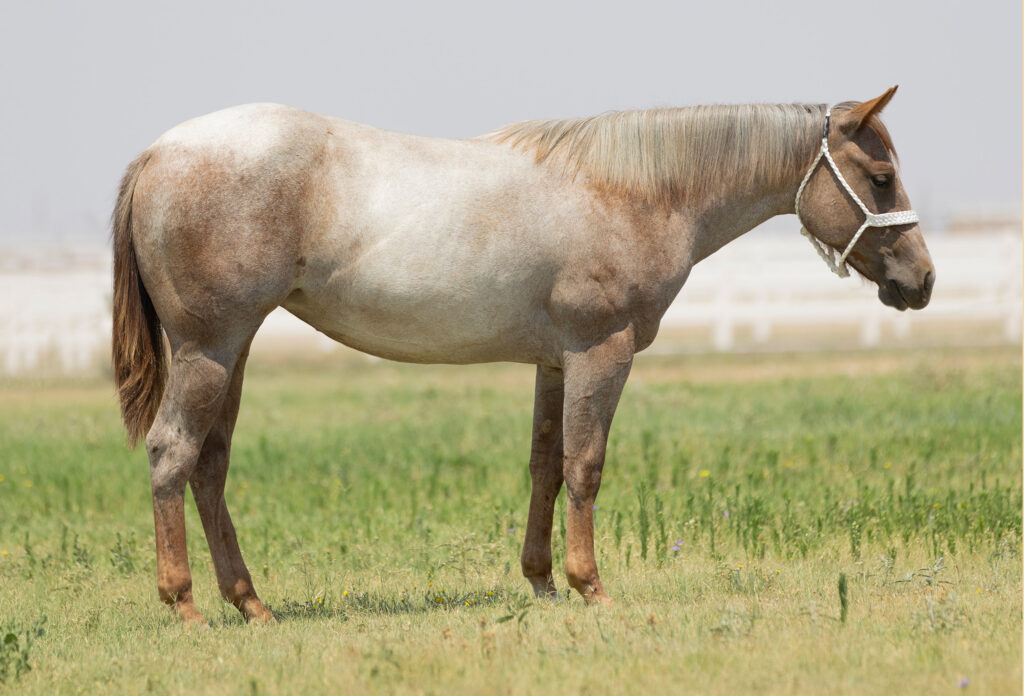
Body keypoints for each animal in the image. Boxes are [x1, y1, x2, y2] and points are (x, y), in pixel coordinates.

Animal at [112, 86, 934, 624]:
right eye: (881, 177)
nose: (922, 281)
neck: (635, 190)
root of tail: (157, 152)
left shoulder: (555, 362)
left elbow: (546, 464)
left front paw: (541, 583)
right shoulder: (602, 351)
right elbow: (586, 465)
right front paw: (590, 585)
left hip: (233, 351)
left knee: (209, 466)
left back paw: (250, 603)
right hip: (210, 349)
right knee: (172, 454)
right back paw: (184, 604)